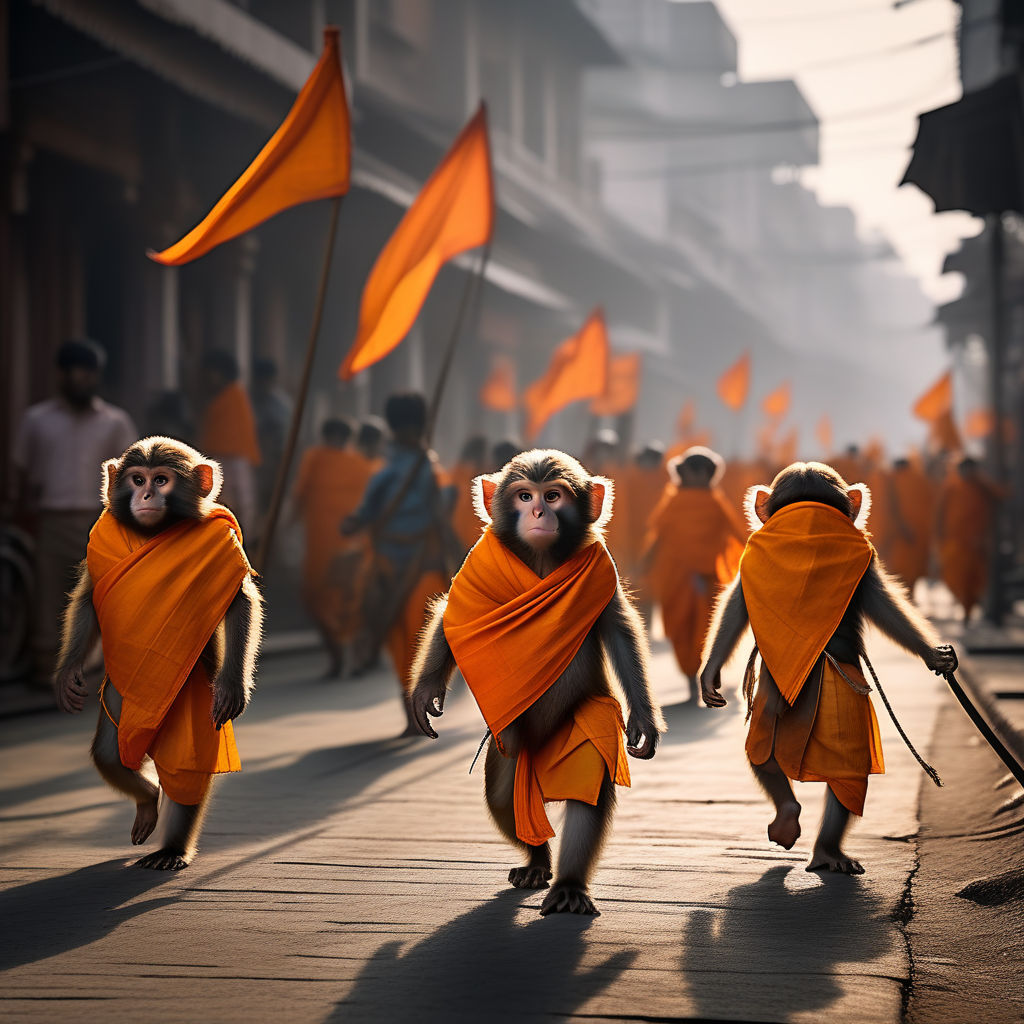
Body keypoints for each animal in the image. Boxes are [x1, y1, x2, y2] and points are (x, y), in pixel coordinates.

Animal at [55, 436, 262, 869]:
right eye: (137, 479)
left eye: (161, 480)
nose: (147, 495)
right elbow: (87, 600)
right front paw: (67, 674)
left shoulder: (226, 544)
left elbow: (241, 601)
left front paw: (234, 686)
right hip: (121, 697)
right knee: (110, 754)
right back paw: (149, 797)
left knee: (189, 763)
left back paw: (172, 848)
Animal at [409, 449, 665, 915]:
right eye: (525, 495)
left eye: (554, 495)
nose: (539, 513)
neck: (543, 559)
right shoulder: (472, 571)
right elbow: (452, 619)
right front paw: (425, 691)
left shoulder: (604, 574)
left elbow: (621, 632)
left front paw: (644, 721)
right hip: (511, 750)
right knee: (503, 793)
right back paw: (536, 859)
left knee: (587, 780)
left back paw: (568, 885)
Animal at [698, 461, 957, 874]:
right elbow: (736, 604)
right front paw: (709, 678)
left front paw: (936, 657)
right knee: (777, 755)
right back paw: (804, 830)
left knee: (832, 774)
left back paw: (821, 846)